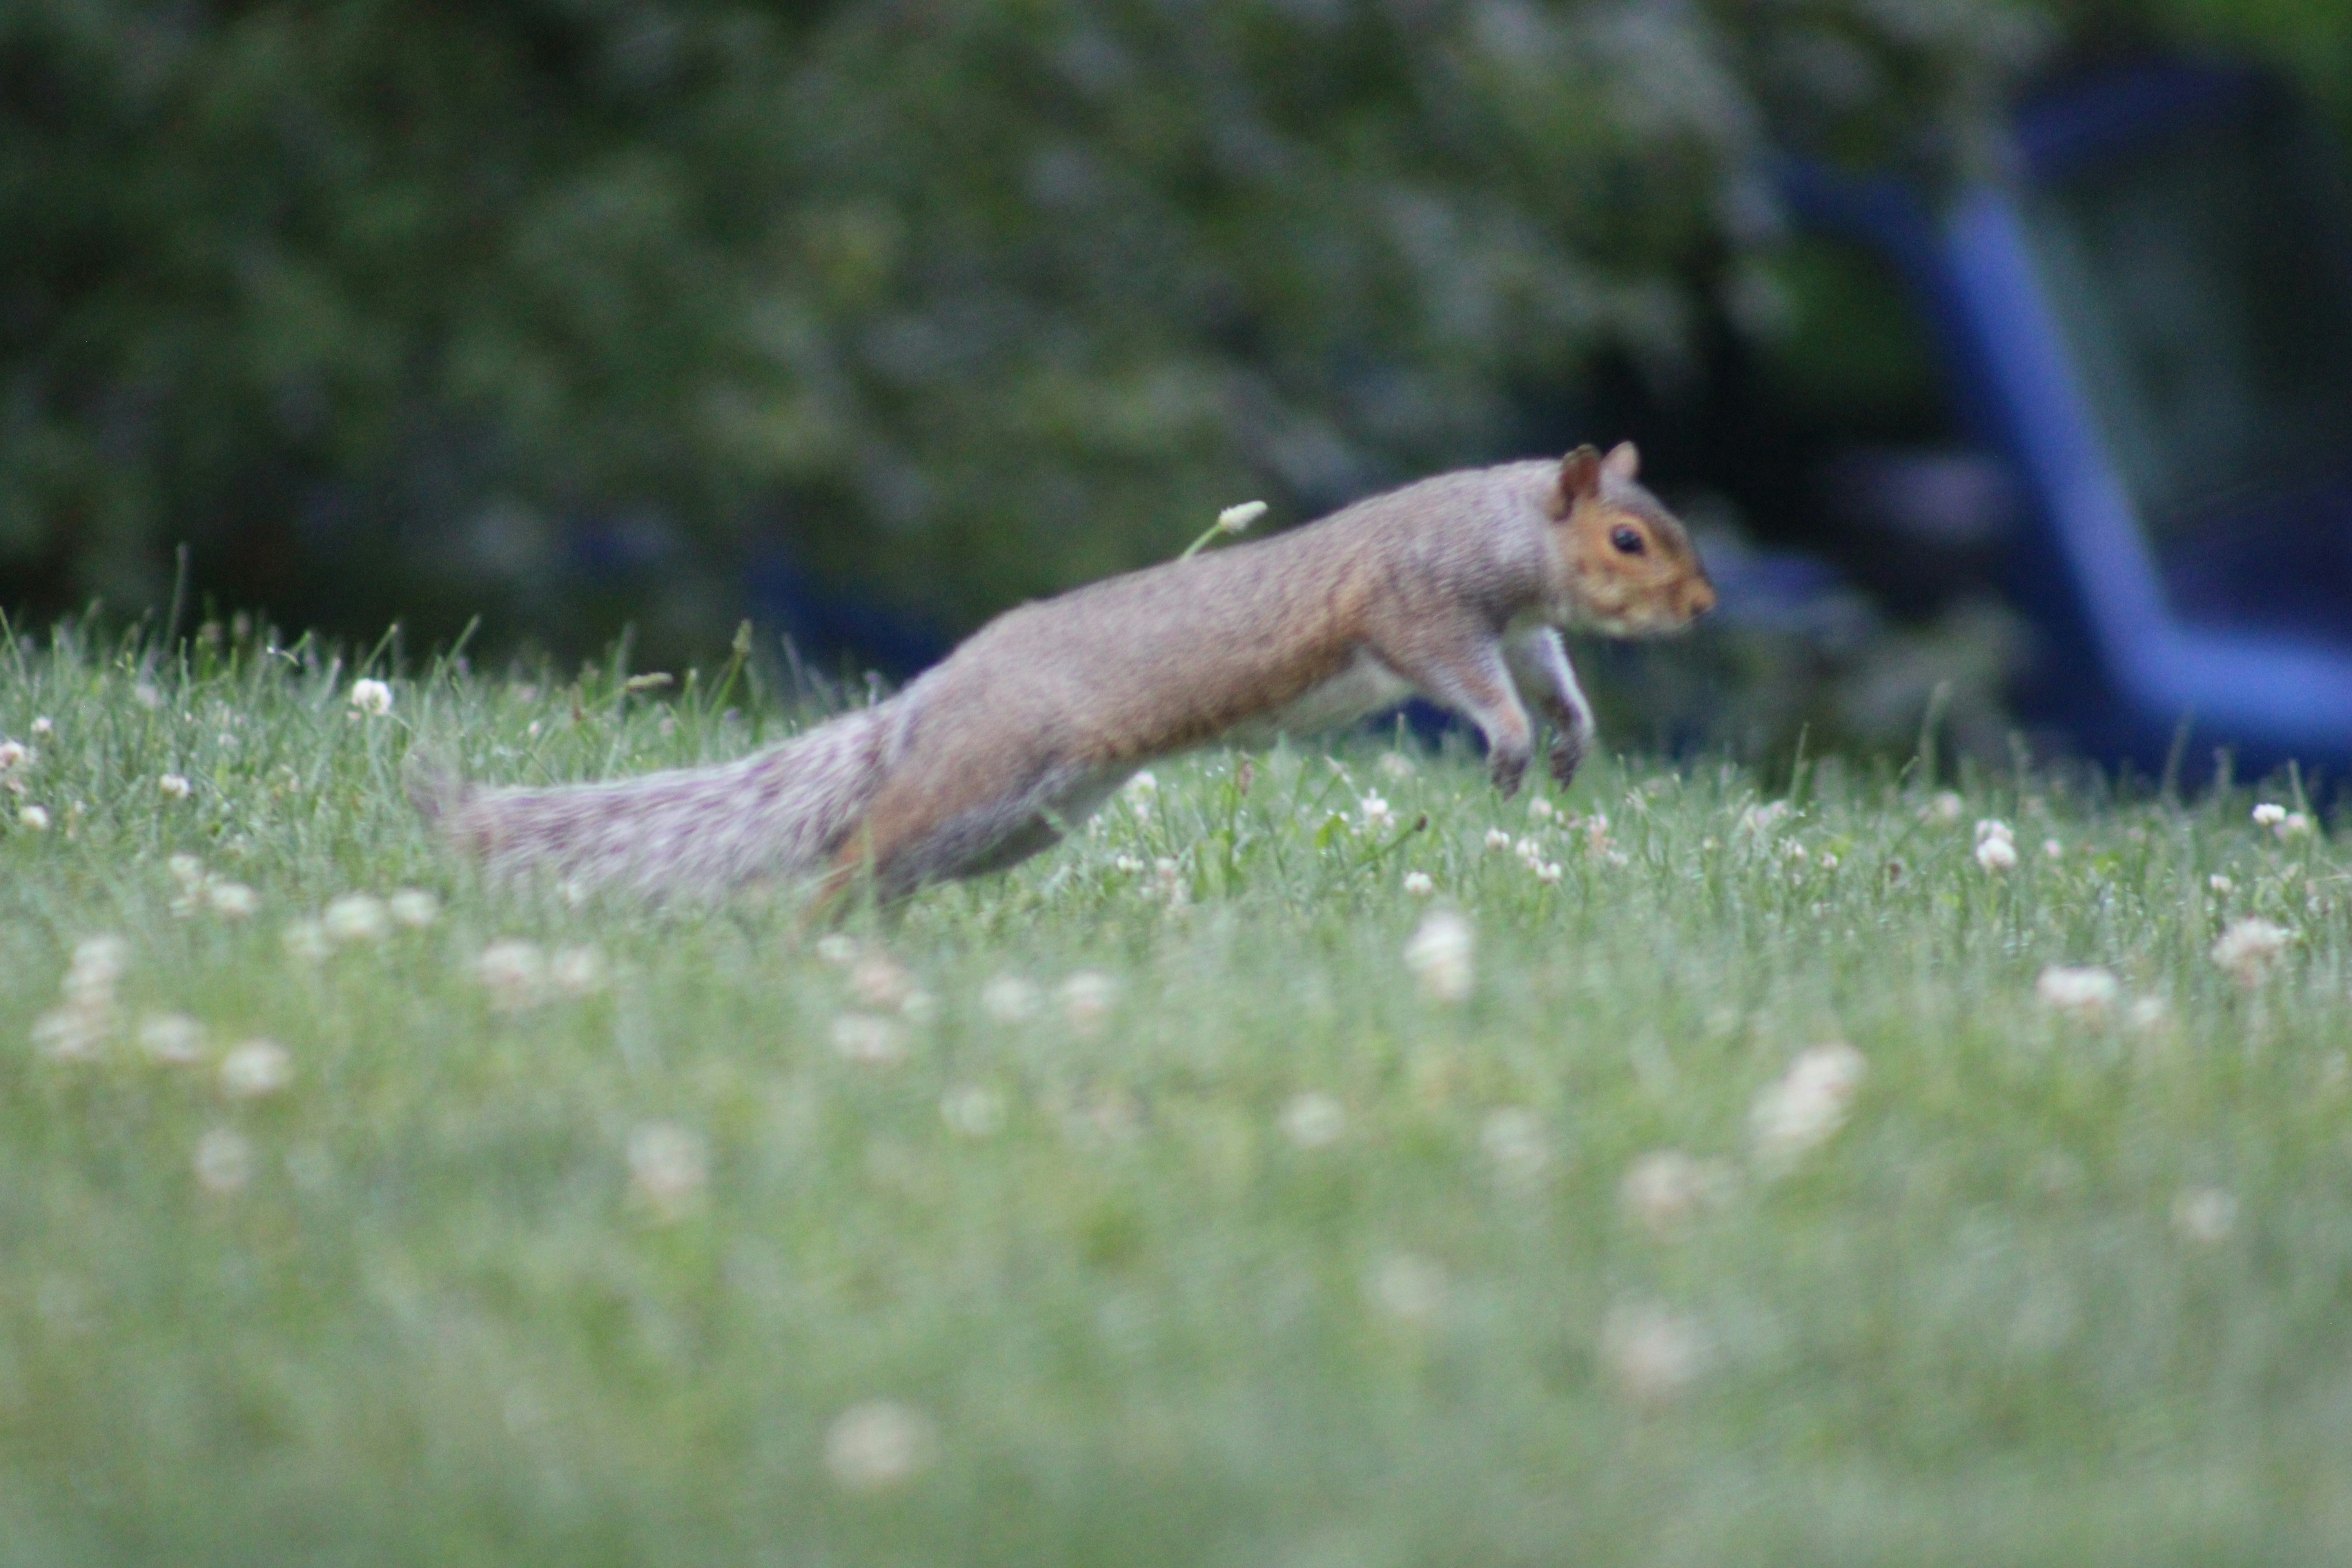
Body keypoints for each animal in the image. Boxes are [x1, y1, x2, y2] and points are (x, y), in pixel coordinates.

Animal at [408, 442, 1714, 905]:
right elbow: (1464, 677)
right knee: (855, 848)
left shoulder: (1521, 625)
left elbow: (1549, 670)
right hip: (987, 774)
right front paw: (1507, 741)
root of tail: (932, 692)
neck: (1504, 524)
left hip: (1018, 820)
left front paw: (1569, 735)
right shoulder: (1416, 604)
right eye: (1627, 539)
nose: (1703, 607)